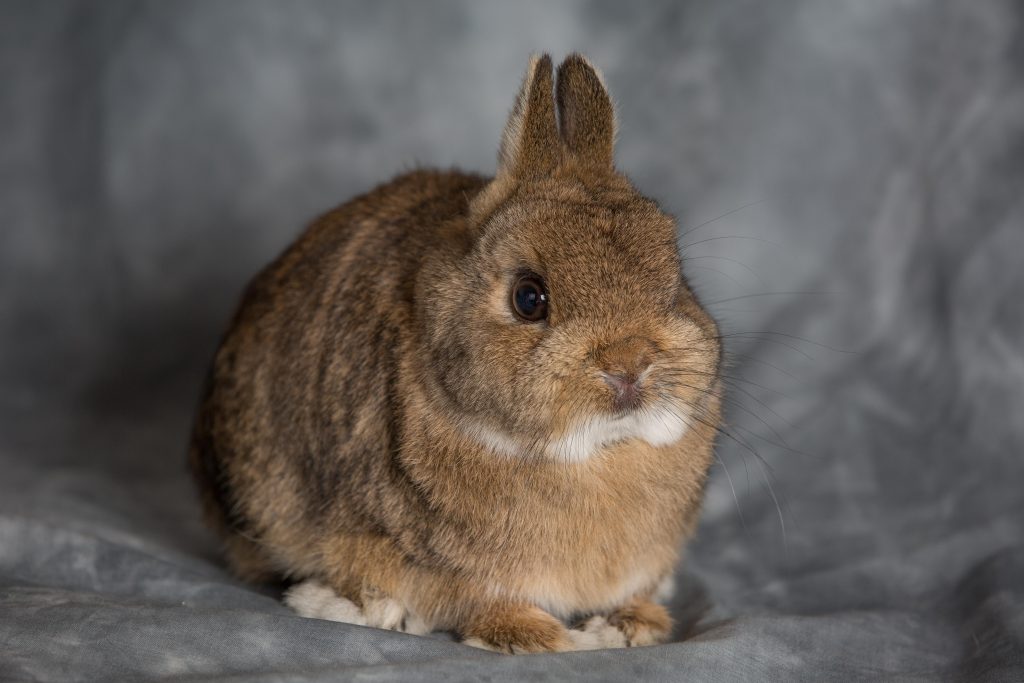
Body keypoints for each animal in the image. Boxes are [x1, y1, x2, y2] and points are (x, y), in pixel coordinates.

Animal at [188, 53, 723, 654]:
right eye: (529, 298)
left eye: (673, 280)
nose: (630, 365)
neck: (593, 454)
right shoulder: (430, 563)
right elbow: (477, 600)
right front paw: (539, 638)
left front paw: (632, 626)